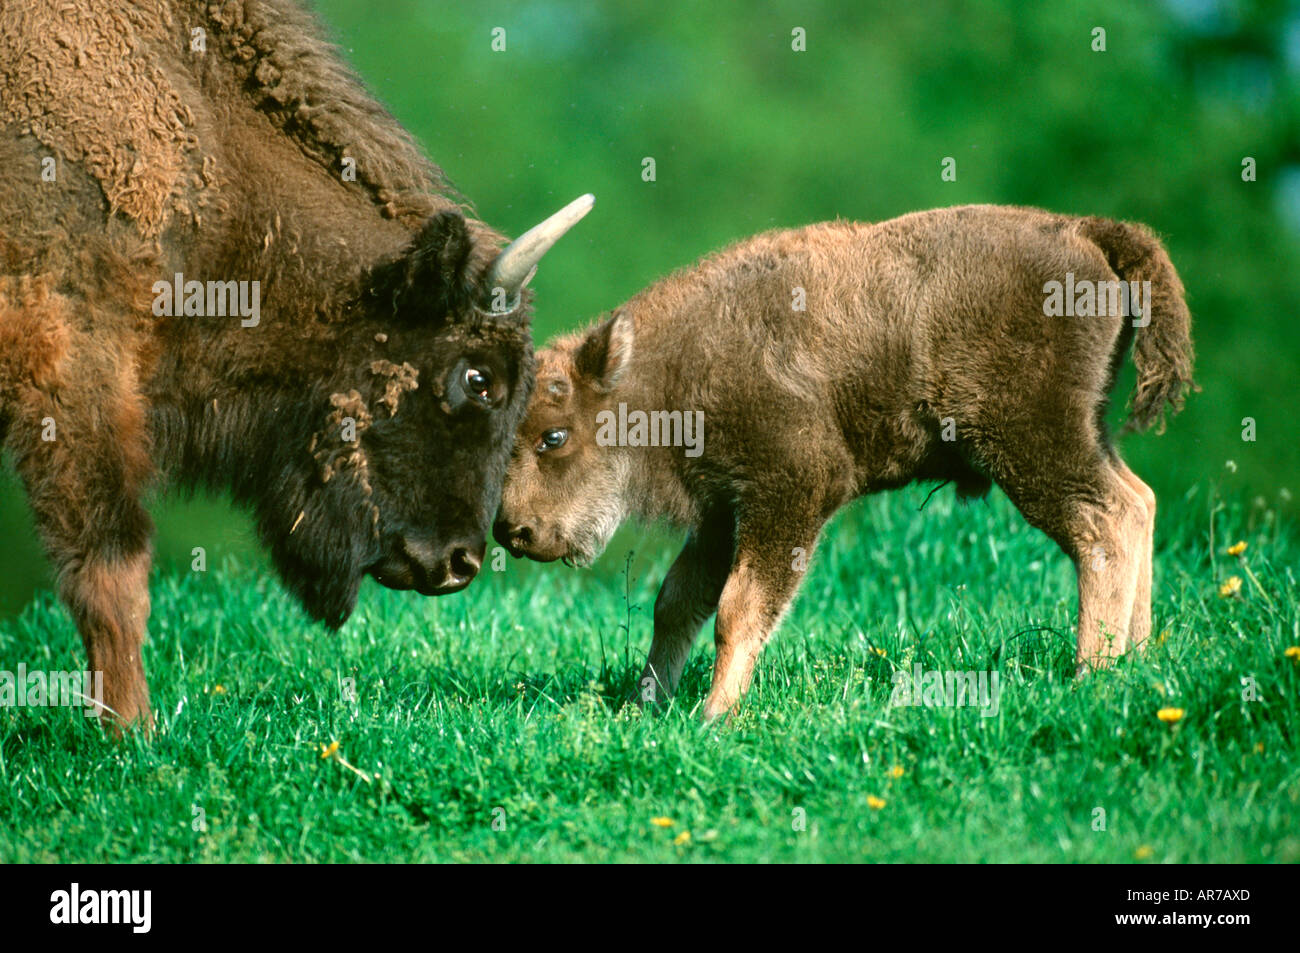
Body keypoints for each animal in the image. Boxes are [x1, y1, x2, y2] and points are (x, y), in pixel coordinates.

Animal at [494, 205, 1195, 720]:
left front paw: (715, 717)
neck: (664, 372)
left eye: (554, 436)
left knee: (1103, 524)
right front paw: (647, 709)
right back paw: (1133, 662)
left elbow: (737, 607)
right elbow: (678, 601)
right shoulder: (723, 512)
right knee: (1140, 501)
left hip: (1033, 447)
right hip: (1086, 434)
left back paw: (1089, 676)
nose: (512, 531)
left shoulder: (791, 493)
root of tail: (1088, 231)